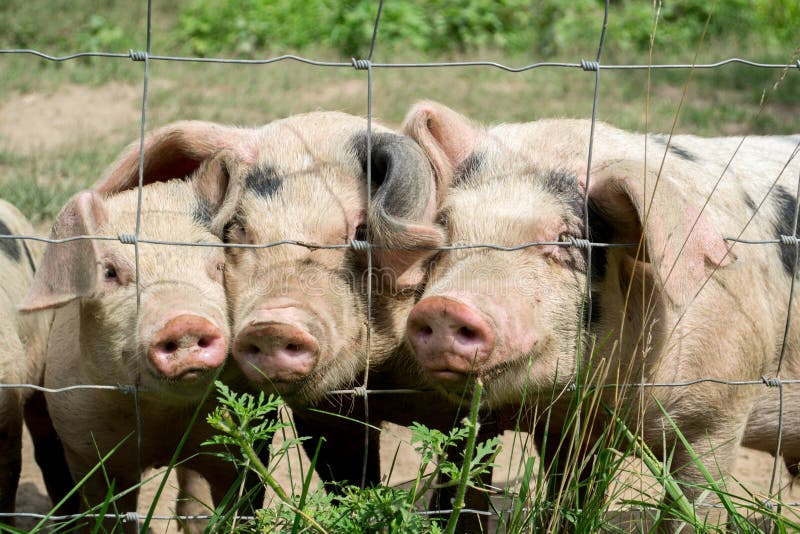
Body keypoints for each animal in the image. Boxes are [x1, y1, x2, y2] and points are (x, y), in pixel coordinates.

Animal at [17, 123, 264, 532]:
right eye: (110, 272)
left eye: (217, 265)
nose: (184, 320)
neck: (160, 420)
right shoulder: (85, 446)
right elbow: (108, 514)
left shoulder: (229, 442)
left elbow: (232, 502)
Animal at [401, 100, 800, 529]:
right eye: (445, 230)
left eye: (567, 240)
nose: (445, 306)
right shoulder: (563, 429)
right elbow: (565, 499)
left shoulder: (722, 407)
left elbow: (695, 506)